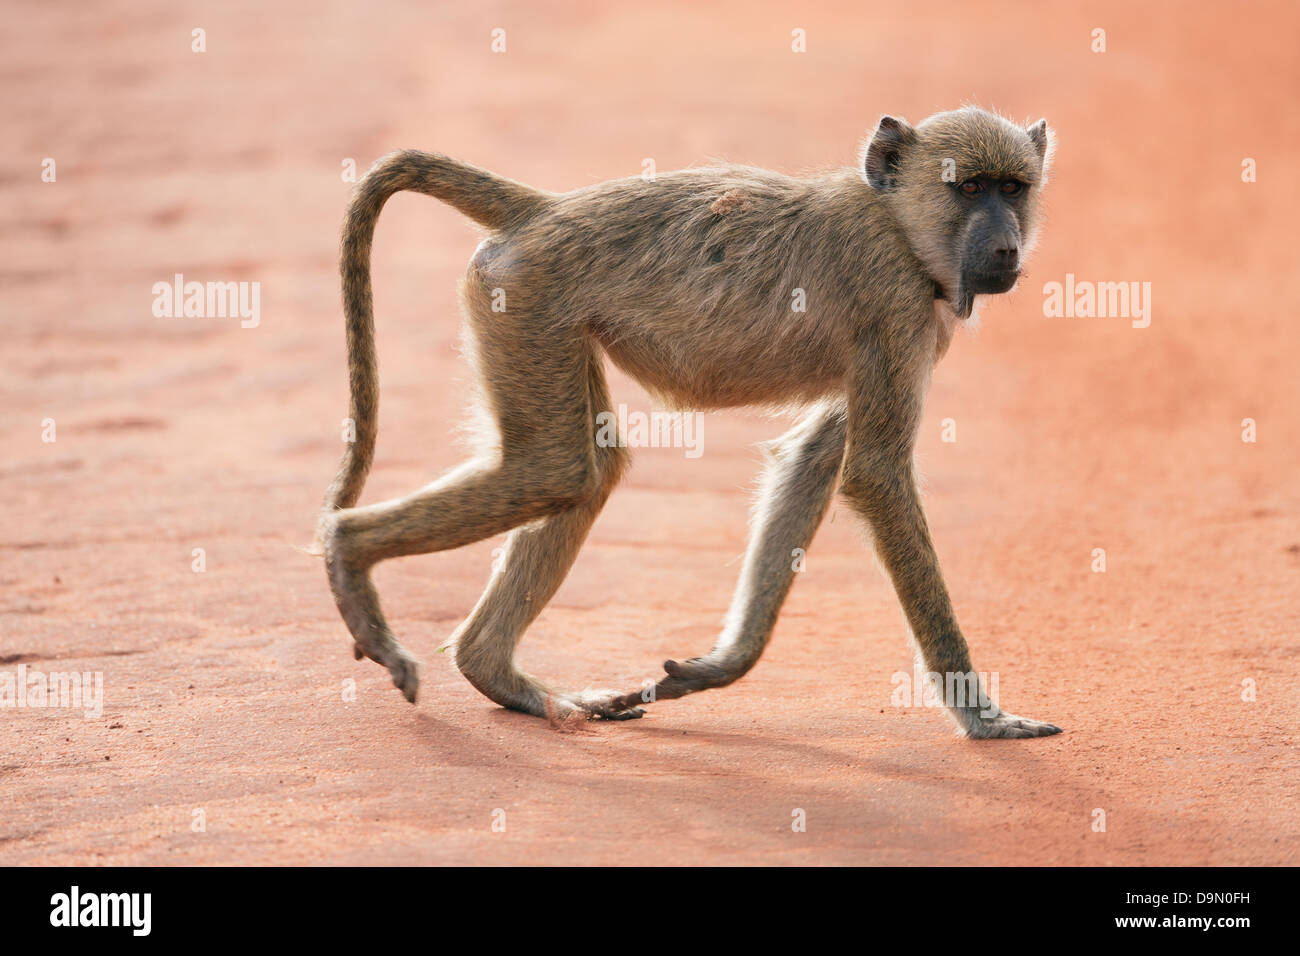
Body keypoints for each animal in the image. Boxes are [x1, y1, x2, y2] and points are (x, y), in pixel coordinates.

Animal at [315, 106, 1062, 739]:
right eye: (969, 189)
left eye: (1012, 189)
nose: (1005, 248)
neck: (899, 222)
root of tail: (548, 209)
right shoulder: (893, 300)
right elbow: (875, 477)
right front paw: (984, 717)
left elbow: (814, 460)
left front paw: (720, 667)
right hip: (525, 293)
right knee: (558, 469)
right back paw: (349, 550)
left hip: (527, 304)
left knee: (587, 469)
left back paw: (495, 673)